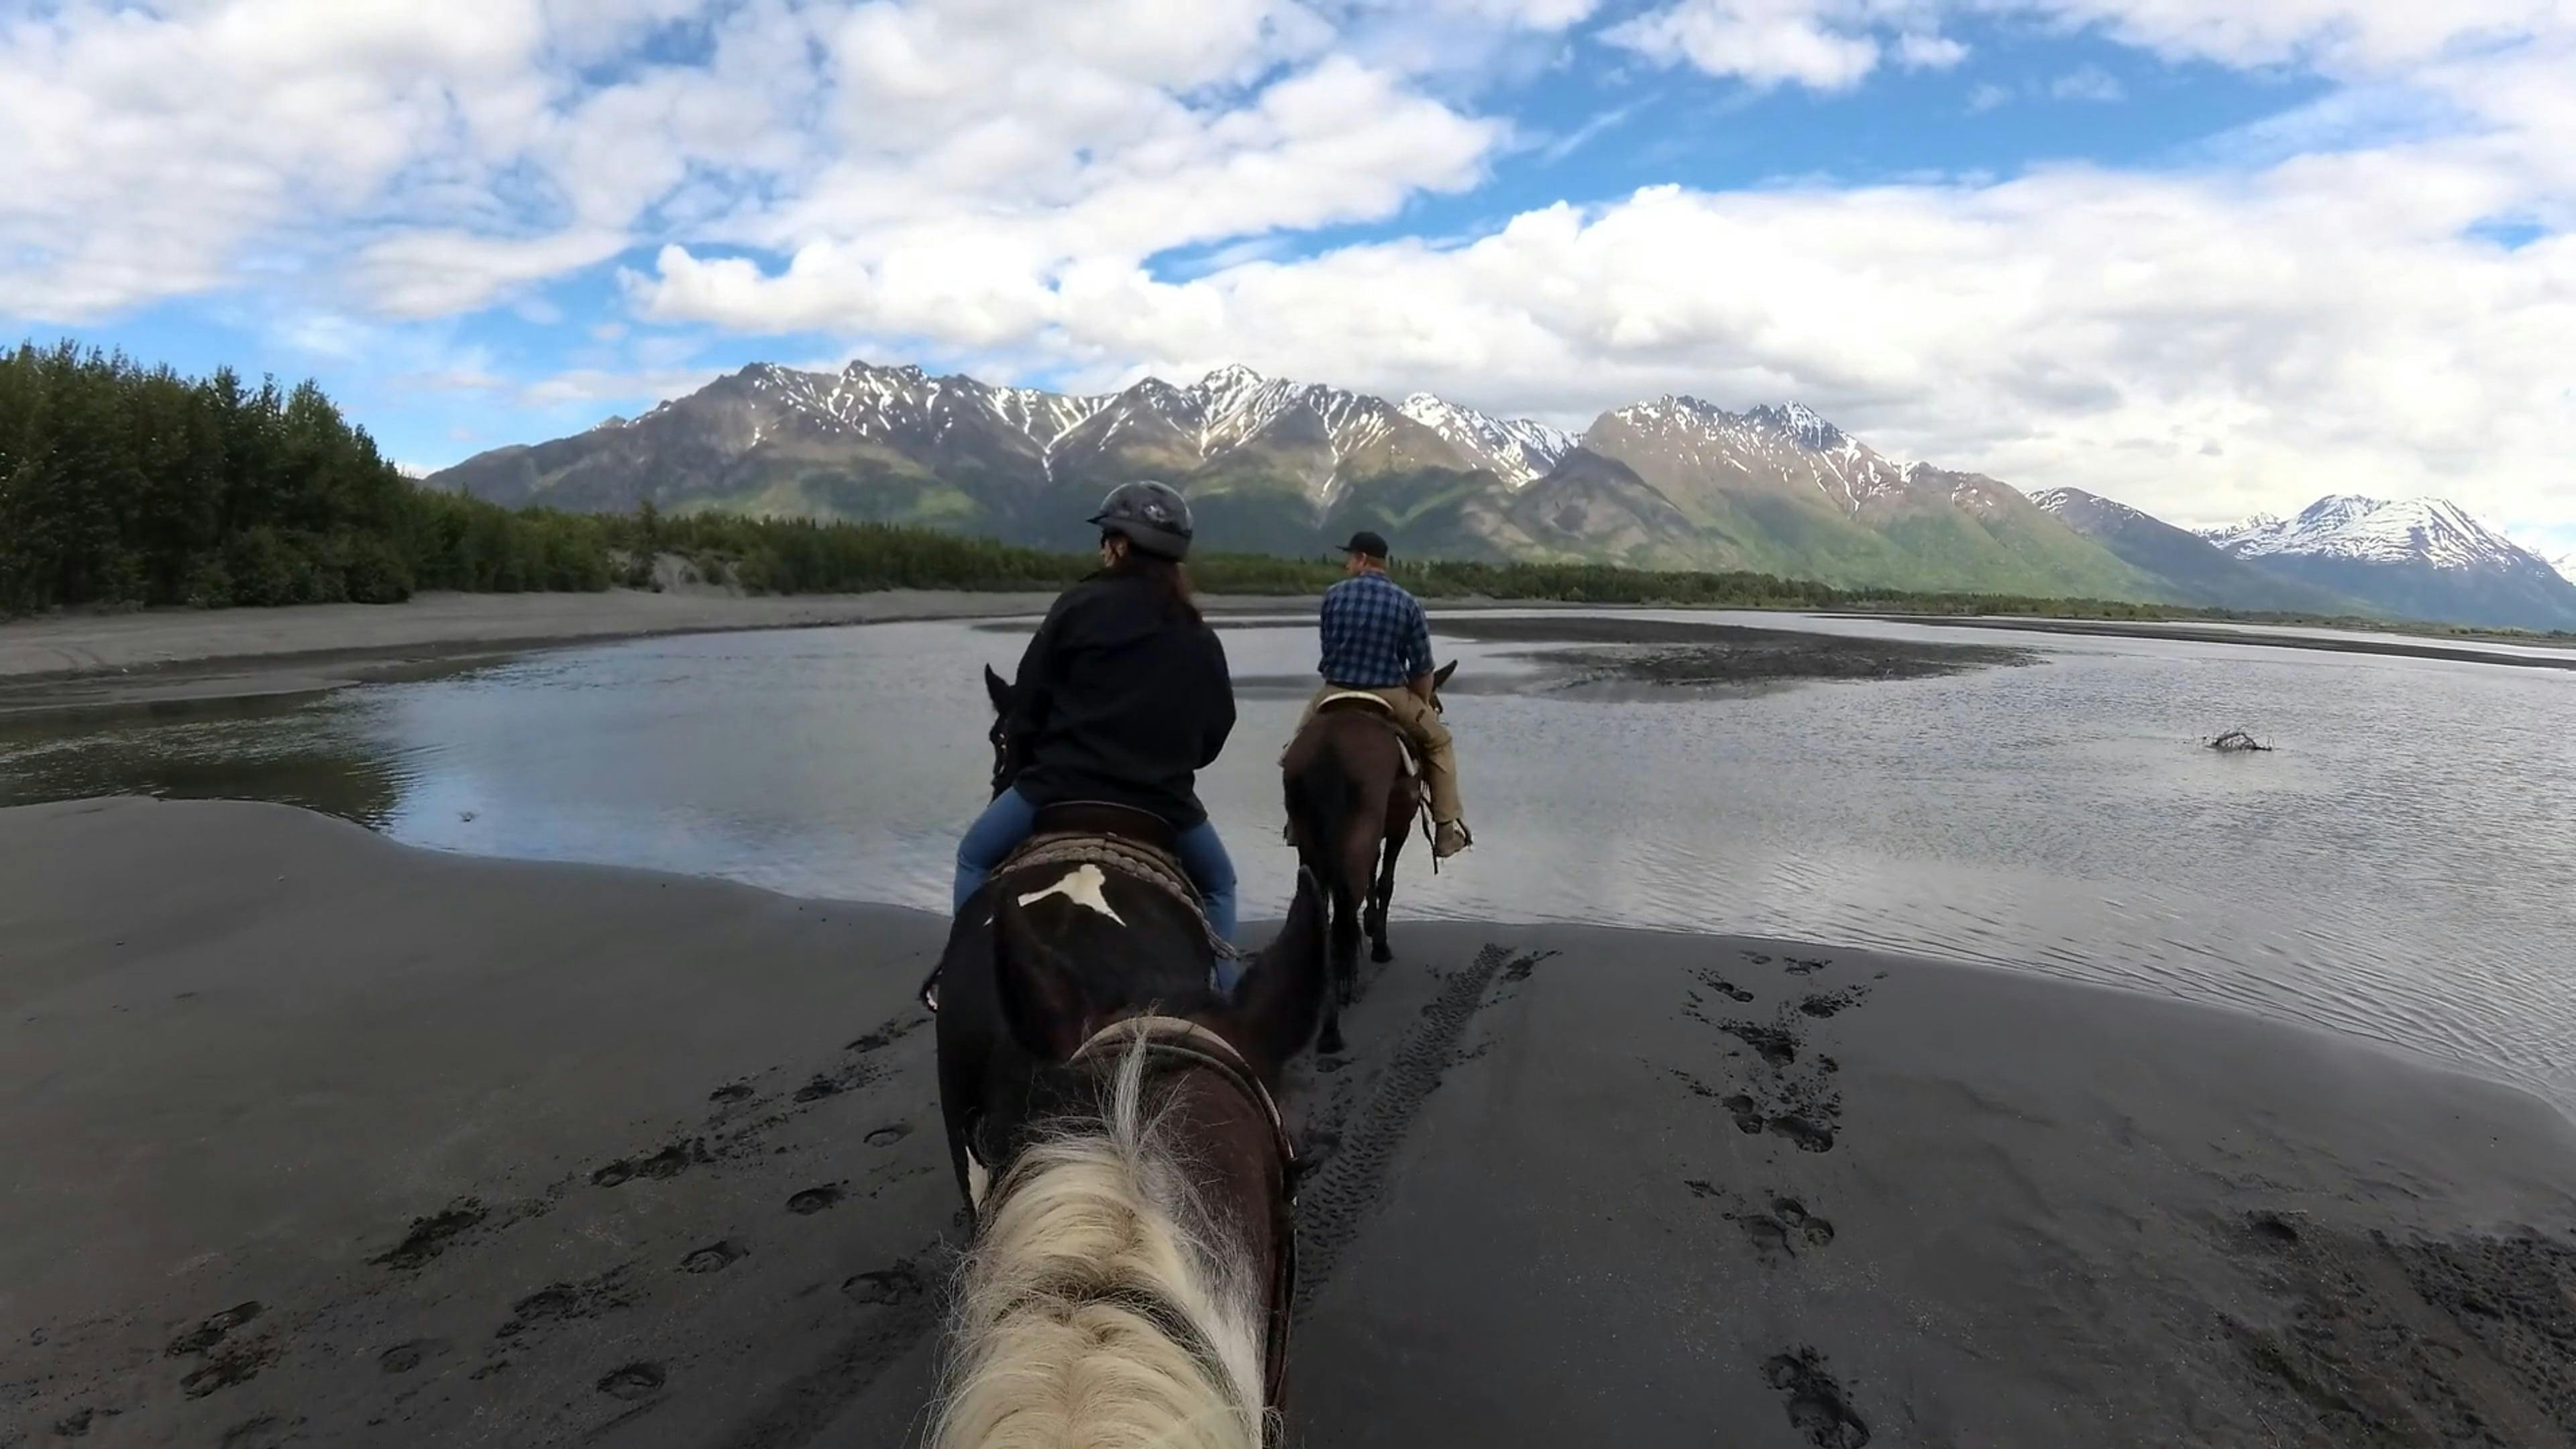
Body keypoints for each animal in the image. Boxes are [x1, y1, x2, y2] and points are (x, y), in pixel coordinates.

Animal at [1280, 660, 1456, 1056]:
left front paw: (1374, 925)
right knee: (1345, 912)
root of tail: (1329, 748)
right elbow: (1385, 881)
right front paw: (1380, 943)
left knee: (1323, 913)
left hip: (1315, 847)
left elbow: (1376, 876)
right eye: (1435, 705)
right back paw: (1332, 1030)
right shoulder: (1399, 826)